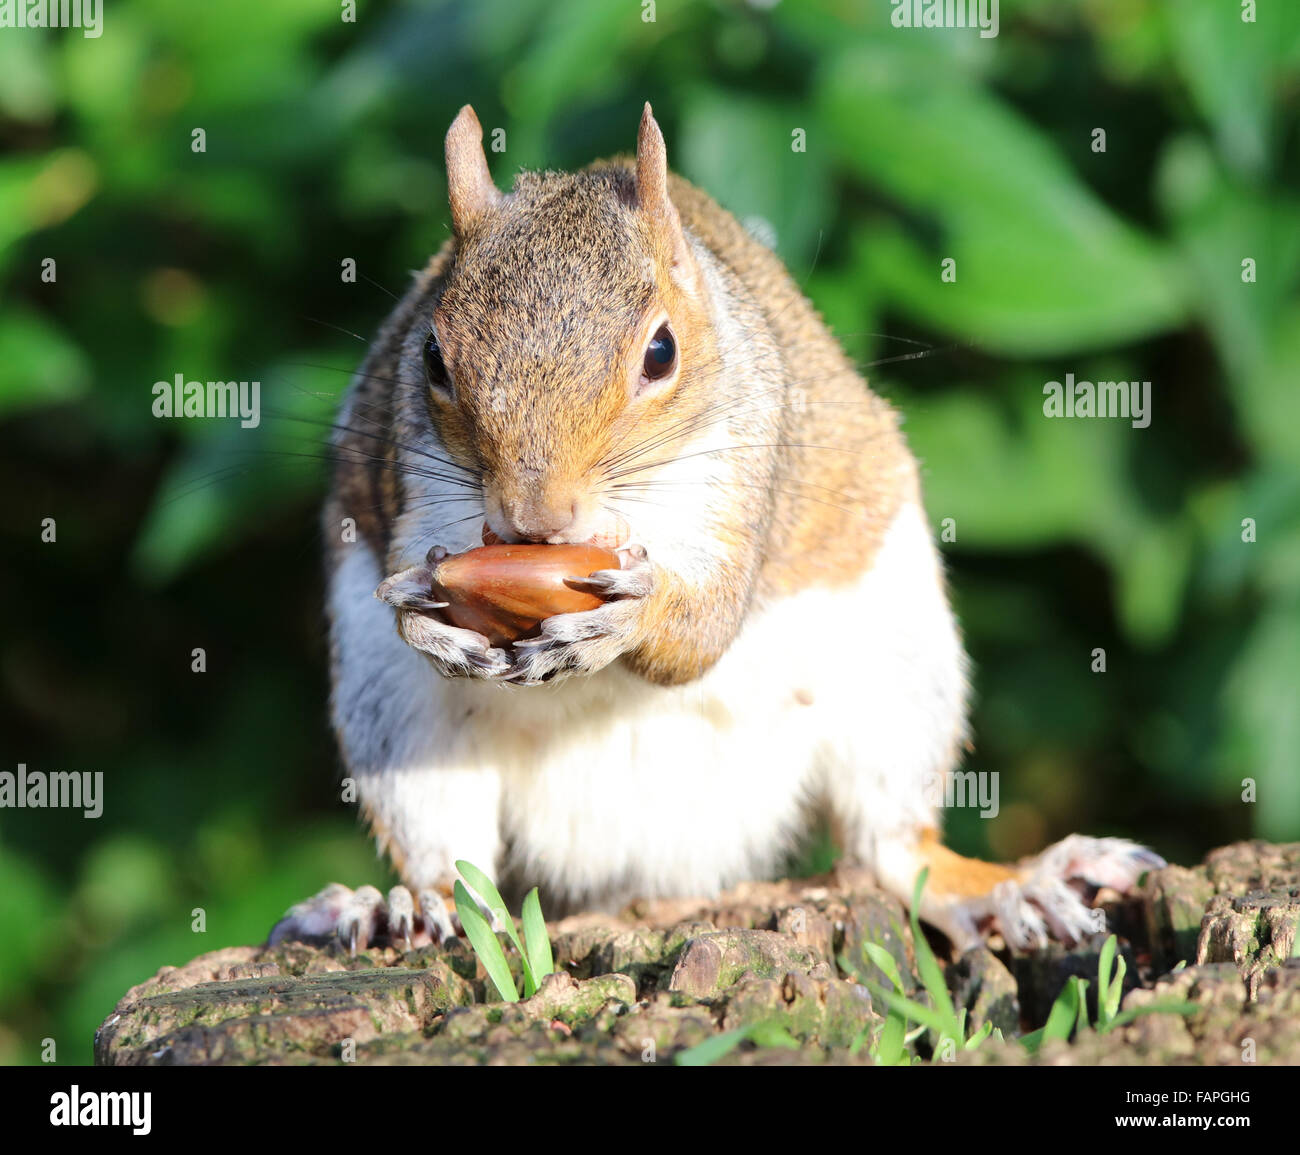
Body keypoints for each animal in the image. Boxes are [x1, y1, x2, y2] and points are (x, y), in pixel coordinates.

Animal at [269, 104, 1162, 955]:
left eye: (661, 352)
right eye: (432, 359)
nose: (533, 518)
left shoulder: (744, 473)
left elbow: (705, 629)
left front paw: (632, 616)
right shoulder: (419, 483)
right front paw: (425, 614)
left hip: (897, 672)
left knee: (890, 847)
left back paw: (1006, 885)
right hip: (393, 718)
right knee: (451, 863)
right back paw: (401, 905)